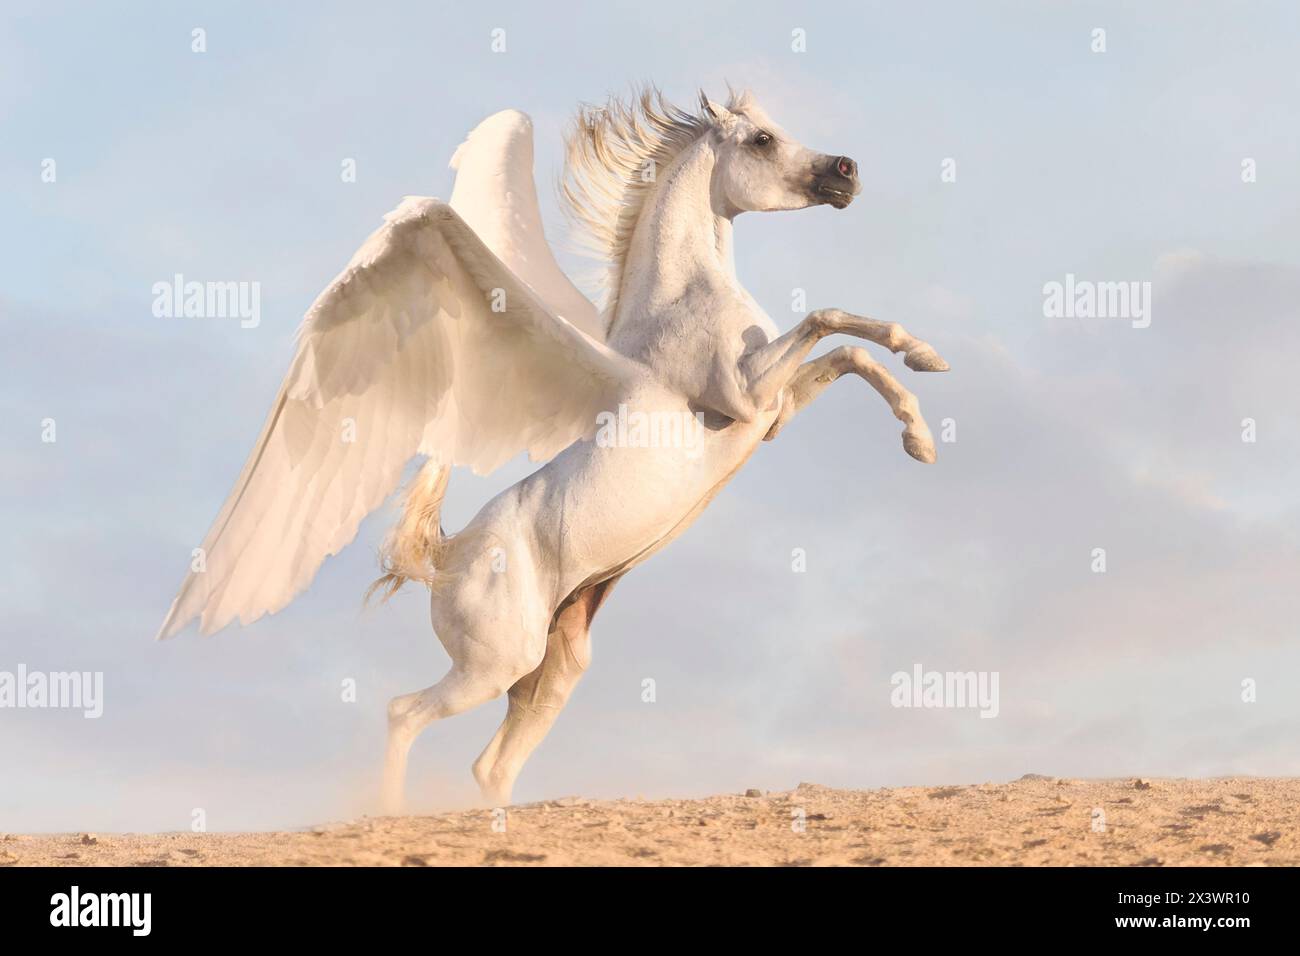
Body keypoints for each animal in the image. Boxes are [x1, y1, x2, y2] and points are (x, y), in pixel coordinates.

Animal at [156, 88, 949, 810]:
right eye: (760, 139)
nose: (846, 171)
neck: (679, 305)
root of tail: (446, 557)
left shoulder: (771, 414)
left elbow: (850, 350)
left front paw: (921, 414)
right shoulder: (746, 396)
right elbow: (828, 318)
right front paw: (923, 383)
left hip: (547, 673)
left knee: (491, 768)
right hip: (493, 665)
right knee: (404, 714)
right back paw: (388, 815)